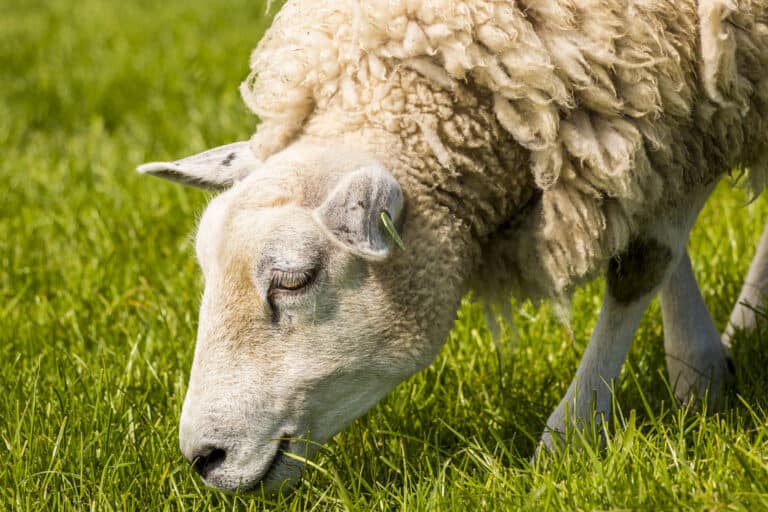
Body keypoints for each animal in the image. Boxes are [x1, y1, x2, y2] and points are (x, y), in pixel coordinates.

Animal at [137, 0, 768, 493]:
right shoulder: (669, 108)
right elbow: (655, 235)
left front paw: (571, 436)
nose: (203, 459)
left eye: (294, 279)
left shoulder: (692, 88)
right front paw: (703, 373)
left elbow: (642, 262)